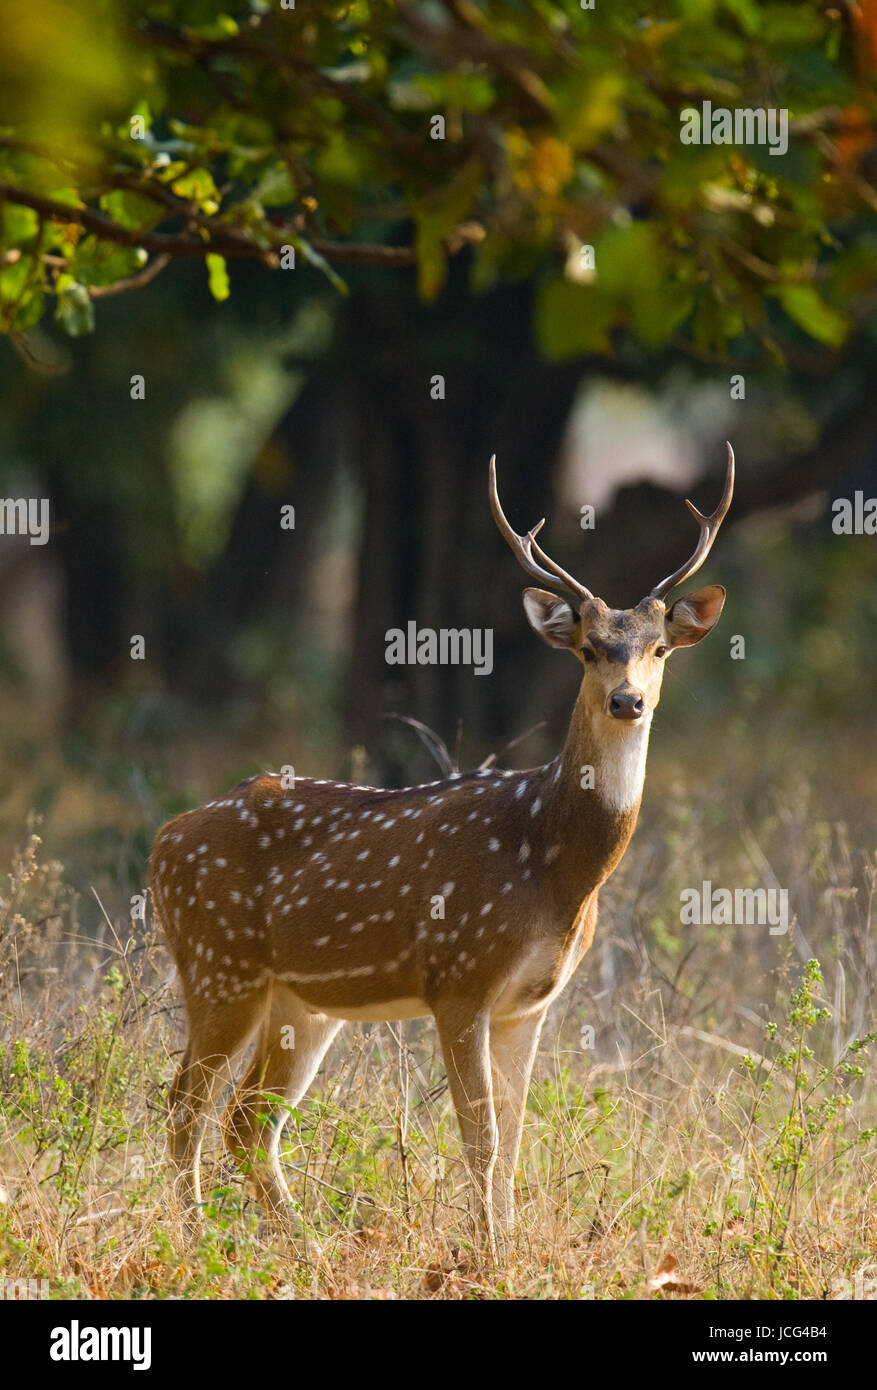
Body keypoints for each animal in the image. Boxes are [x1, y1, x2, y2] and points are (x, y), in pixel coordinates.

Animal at [151, 445, 735, 1261]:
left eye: (659, 649)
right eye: (590, 649)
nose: (628, 700)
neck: (554, 867)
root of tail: (162, 839)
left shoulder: (530, 1002)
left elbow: (515, 1136)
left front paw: (508, 1246)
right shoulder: (459, 976)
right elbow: (480, 1137)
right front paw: (487, 1253)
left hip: (300, 999)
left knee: (246, 1120)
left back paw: (302, 1245)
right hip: (218, 964)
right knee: (184, 1107)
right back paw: (199, 1241)